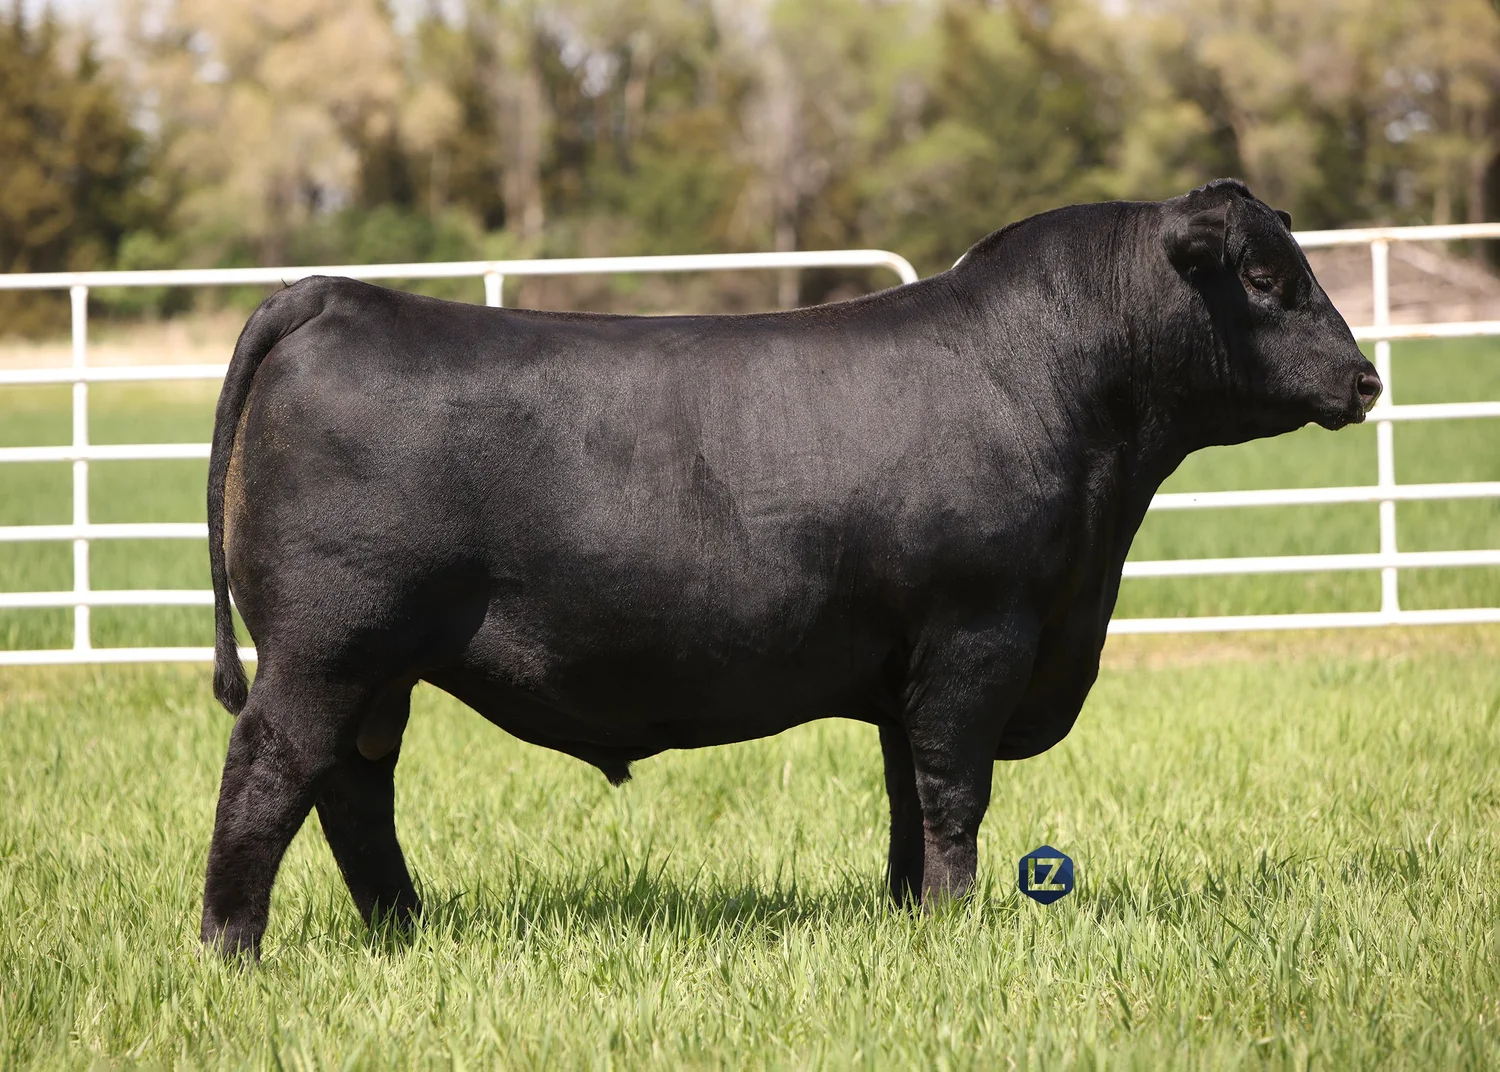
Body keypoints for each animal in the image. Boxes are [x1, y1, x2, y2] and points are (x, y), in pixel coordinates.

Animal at [200, 179, 1380, 956]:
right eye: (1266, 275)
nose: (1366, 377)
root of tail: (336, 294)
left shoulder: (913, 663)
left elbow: (908, 794)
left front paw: (909, 916)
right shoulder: (978, 634)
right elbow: (956, 787)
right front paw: (958, 922)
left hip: (376, 665)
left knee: (354, 786)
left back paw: (406, 930)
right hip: (330, 641)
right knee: (271, 767)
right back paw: (232, 948)